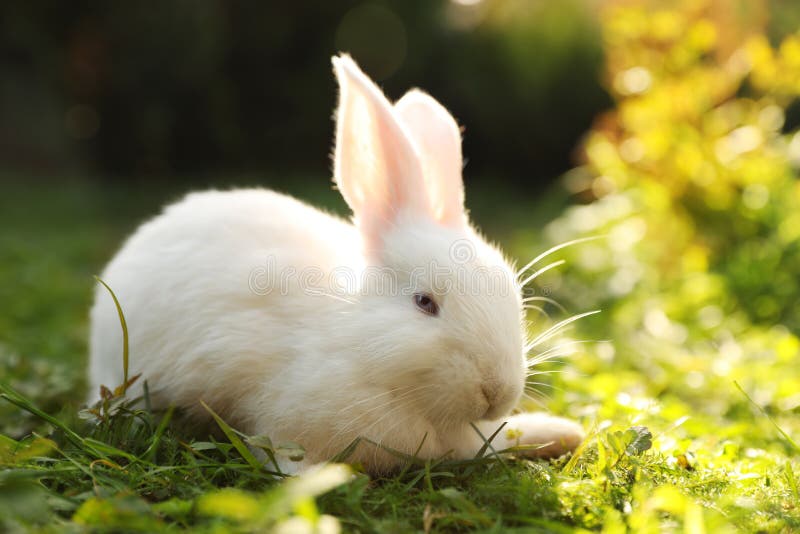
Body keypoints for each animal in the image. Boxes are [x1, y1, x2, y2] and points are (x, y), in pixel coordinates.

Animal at [88, 54, 585, 474]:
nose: (496, 393)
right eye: (424, 303)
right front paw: (324, 482)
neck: (358, 344)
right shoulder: (282, 417)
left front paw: (562, 433)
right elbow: (281, 454)